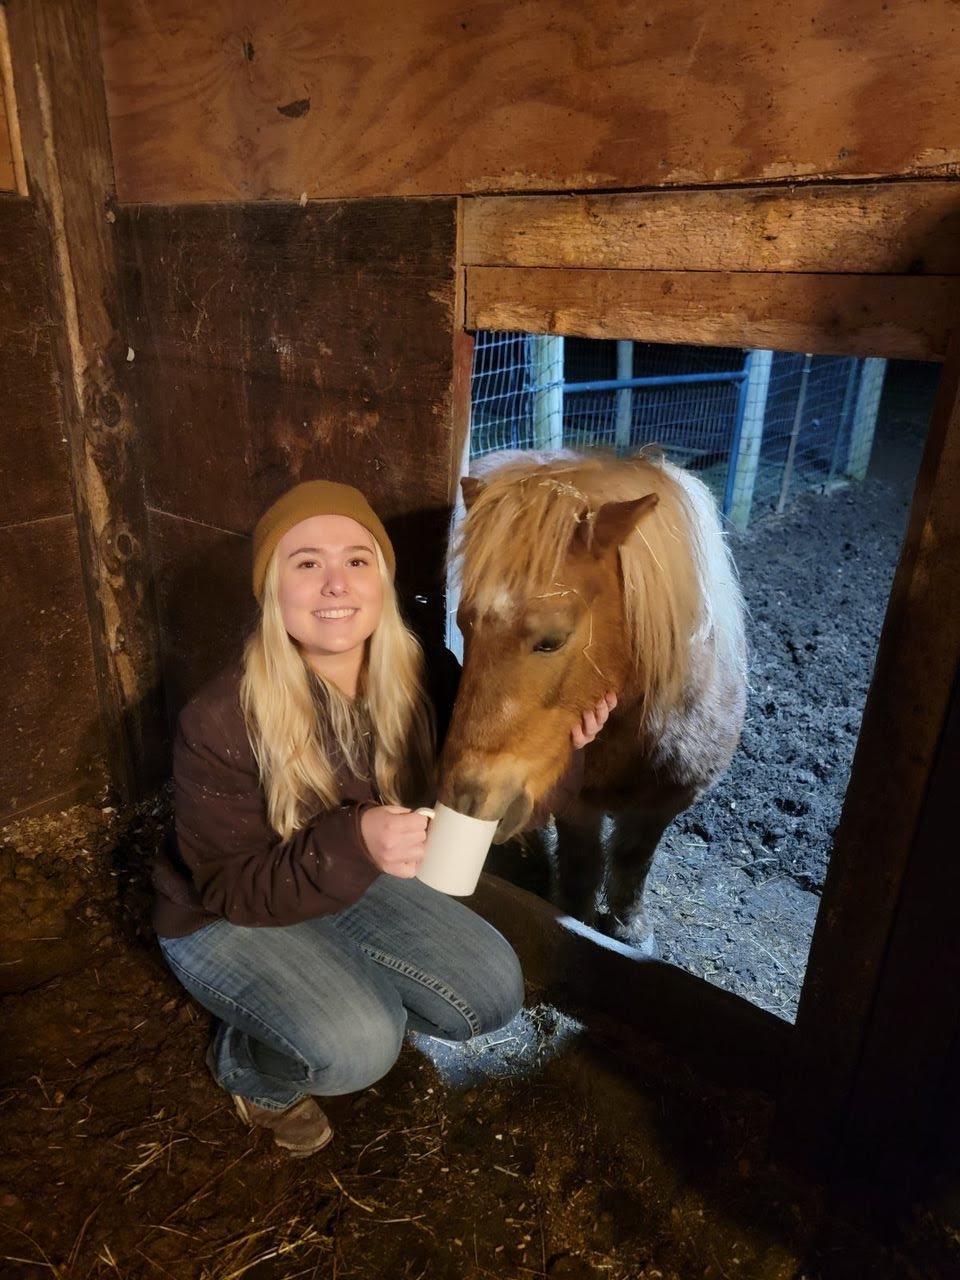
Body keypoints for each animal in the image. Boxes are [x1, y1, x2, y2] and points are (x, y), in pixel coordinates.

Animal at [438, 449, 747, 947]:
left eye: (551, 641)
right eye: (464, 625)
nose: (464, 798)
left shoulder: (666, 801)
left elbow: (633, 860)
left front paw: (629, 927)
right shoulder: (574, 802)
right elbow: (583, 865)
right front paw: (577, 918)